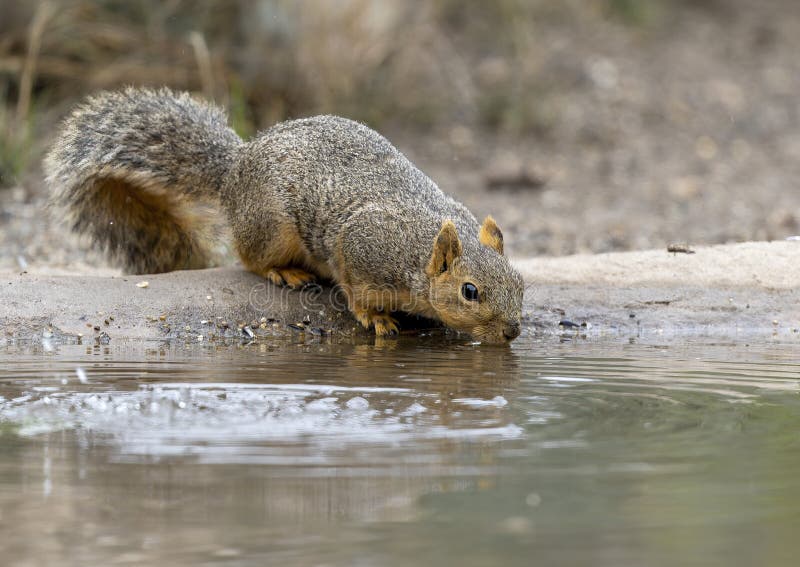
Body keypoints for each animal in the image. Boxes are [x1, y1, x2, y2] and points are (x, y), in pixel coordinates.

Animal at [45, 87, 524, 342]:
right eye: (469, 291)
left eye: (520, 283)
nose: (514, 331)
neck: (419, 251)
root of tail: (237, 169)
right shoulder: (362, 246)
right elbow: (354, 288)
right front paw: (375, 318)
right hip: (272, 226)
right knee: (249, 256)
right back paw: (284, 272)